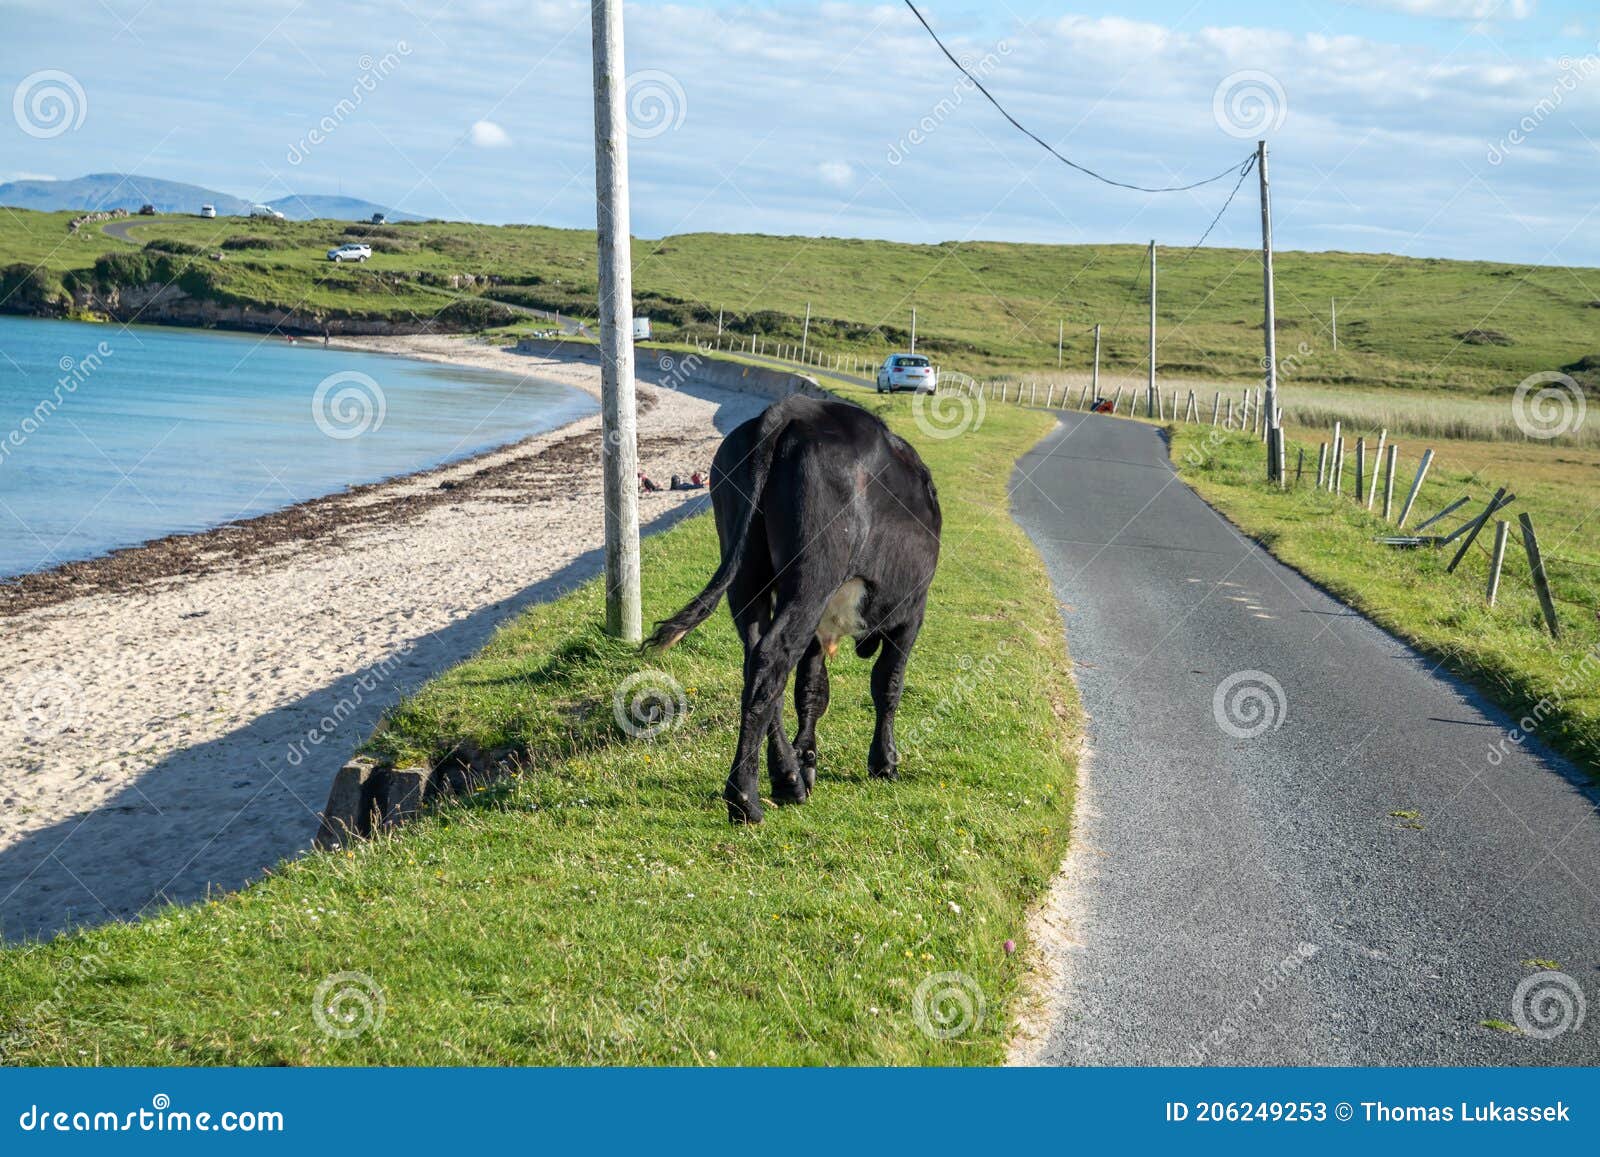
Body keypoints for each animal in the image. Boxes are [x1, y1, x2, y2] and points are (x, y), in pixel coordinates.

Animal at [647, 394, 942, 823]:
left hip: (748, 578)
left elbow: (812, 690)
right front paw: (884, 761)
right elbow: (887, 684)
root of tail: (799, 410)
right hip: (812, 578)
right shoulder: (911, 612)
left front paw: (807, 760)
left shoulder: (822, 628)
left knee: (758, 664)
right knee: (772, 656)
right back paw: (746, 799)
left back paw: (786, 777)